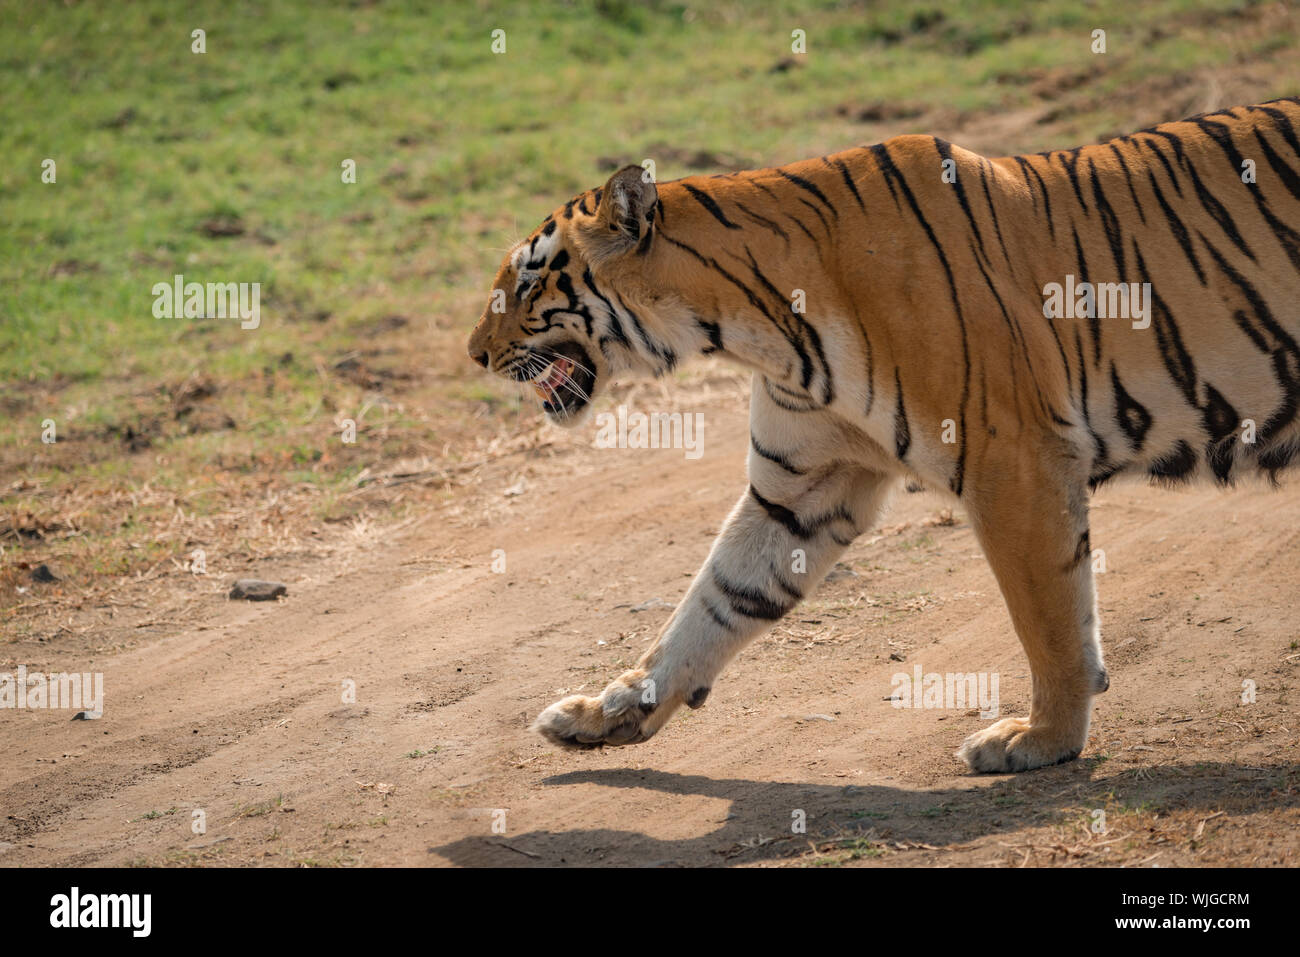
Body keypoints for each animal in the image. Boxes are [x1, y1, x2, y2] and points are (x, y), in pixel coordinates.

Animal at [466, 98, 1300, 772]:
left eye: (529, 282)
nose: (473, 353)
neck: (750, 324)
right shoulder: (802, 484)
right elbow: (713, 602)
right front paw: (604, 714)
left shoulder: (1013, 462)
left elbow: (1051, 619)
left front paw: (1040, 740)